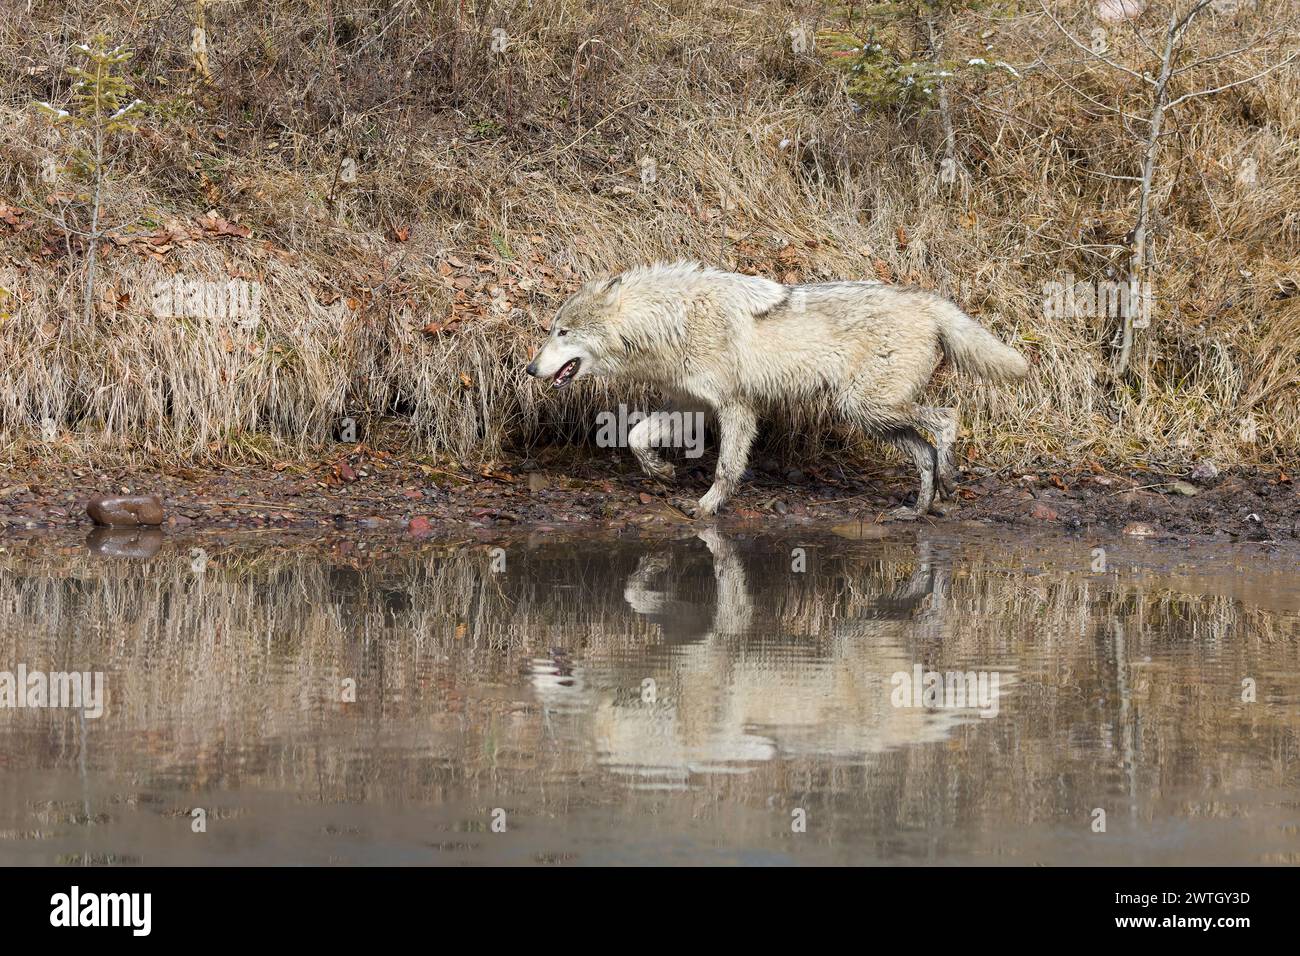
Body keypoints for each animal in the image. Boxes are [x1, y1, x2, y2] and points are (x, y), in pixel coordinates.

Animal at [526, 261, 1028, 518]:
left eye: (563, 332)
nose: (530, 369)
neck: (672, 322)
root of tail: (927, 301)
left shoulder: (736, 409)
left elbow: (727, 468)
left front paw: (705, 507)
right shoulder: (690, 406)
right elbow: (634, 437)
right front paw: (662, 473)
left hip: (866, 406)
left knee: (946, 420)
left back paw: (949, 481)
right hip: (866, 414)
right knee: (923, 451)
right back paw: (919, 509)